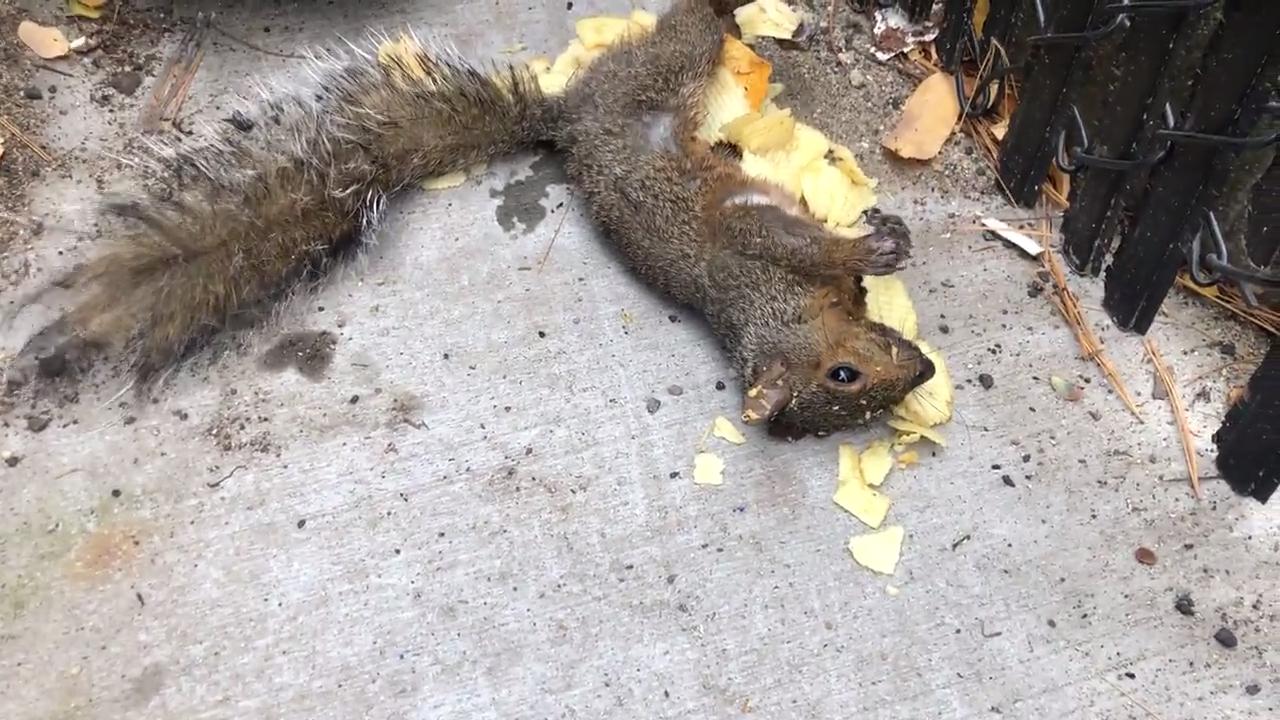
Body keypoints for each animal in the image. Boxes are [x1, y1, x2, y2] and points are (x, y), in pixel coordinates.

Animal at [5, 0, 934, 438]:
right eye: (843, 383)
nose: (921, 370)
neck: (777, 314)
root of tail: (566, 117)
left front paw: (873, 251)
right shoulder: (745, 250)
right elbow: (784, 235)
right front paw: (872, 249)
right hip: (656, 77)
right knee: (687, 30)